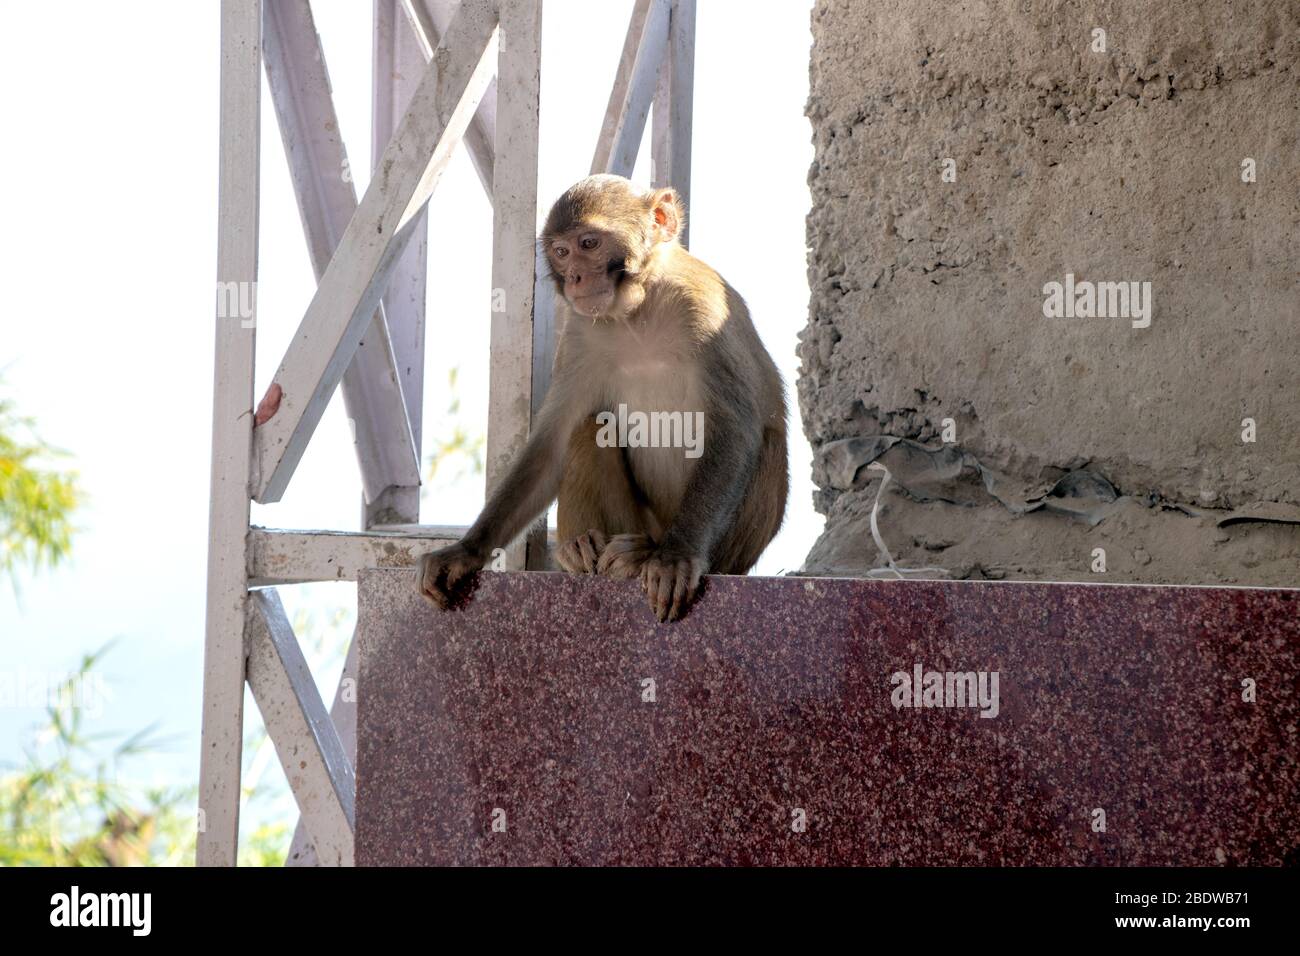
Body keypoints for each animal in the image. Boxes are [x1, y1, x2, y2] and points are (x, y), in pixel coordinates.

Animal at [416, 174, 787, 622]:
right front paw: (466, 551)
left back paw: (645, 553)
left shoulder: (703, 311)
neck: (638, 311)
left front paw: (677, 556)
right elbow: (551, 446)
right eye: (561, 252)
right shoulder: (579, 334)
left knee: (765, 443)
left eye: (589, 243)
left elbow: (733, 433)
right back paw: (583, 550)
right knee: (590, 427)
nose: (575, 276)